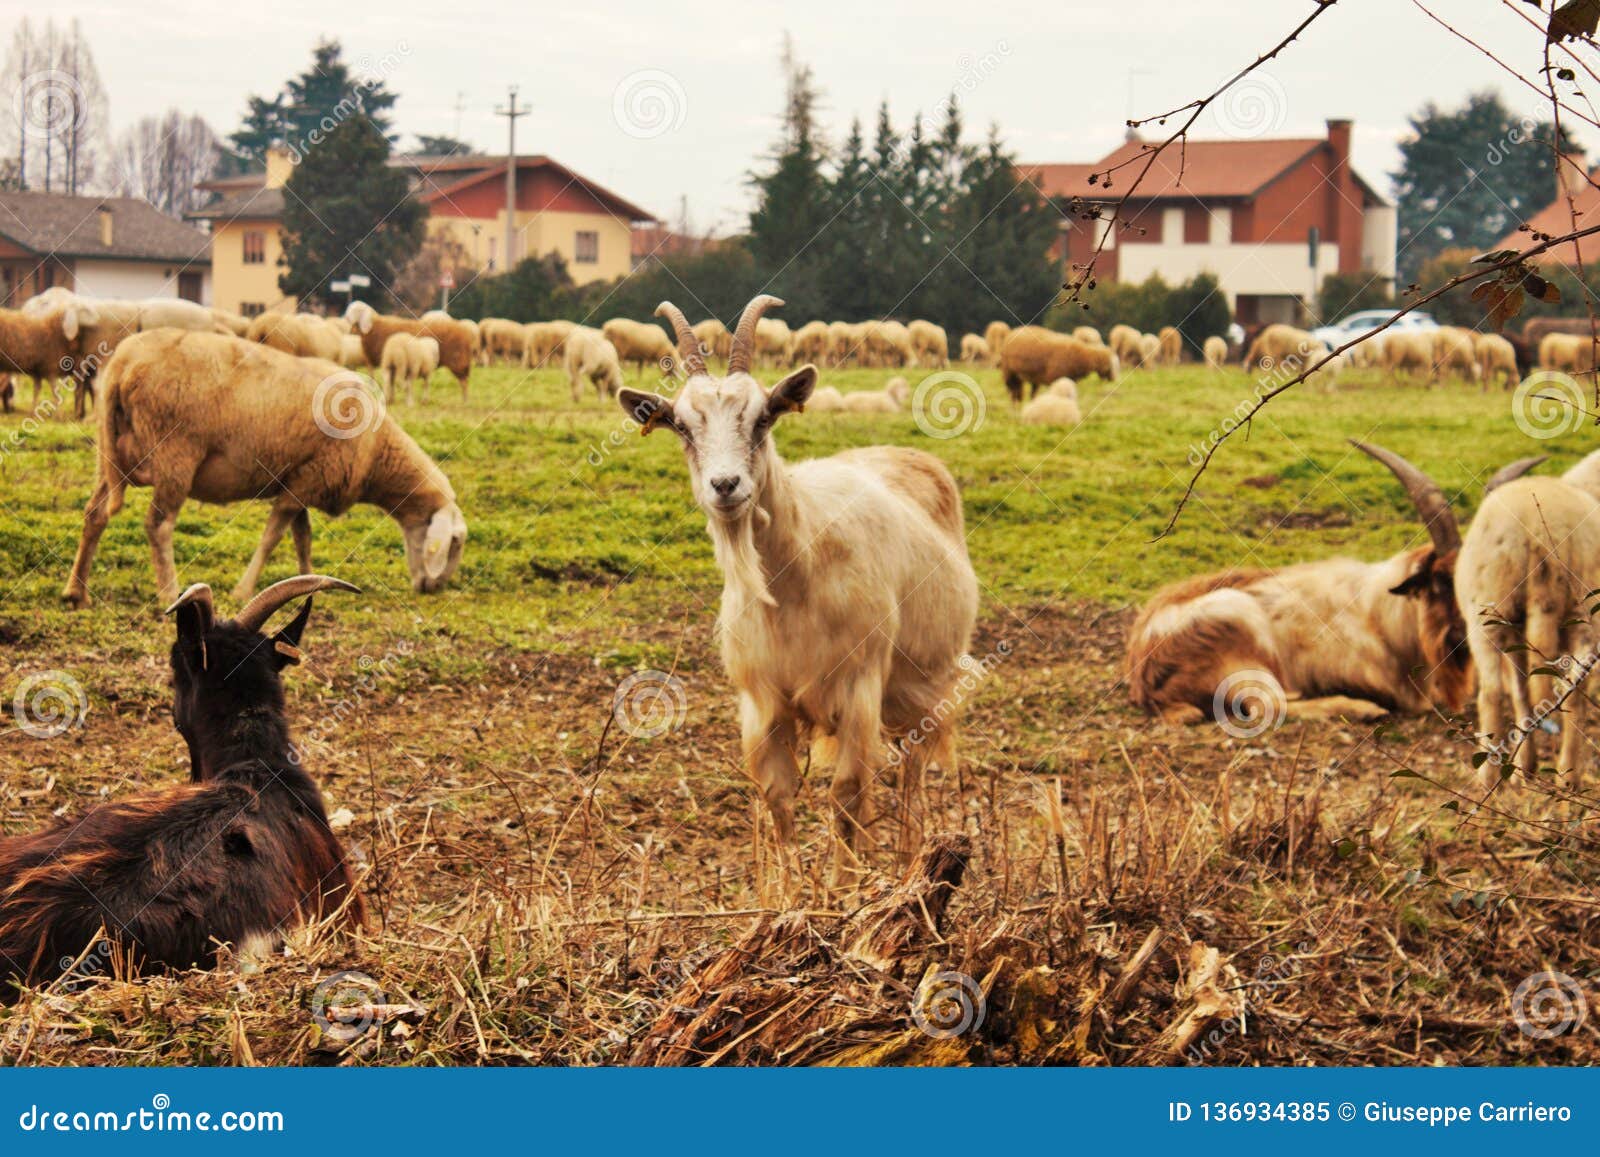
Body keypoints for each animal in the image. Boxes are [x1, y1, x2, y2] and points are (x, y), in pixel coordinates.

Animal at [618, 296, 978, 877]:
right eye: (683, 428)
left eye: (763, 417)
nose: (725, 485)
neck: (792, 586)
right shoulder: (761, 699)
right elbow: (778, 799)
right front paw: (787, 892)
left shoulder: (859, 685)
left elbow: (847, 795)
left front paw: (842, 888)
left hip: (927, 680)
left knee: (911, 769)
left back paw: (909, 861)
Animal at [1126, 443, 1545, 727]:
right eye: (1441, 579)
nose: (1464, 636)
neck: (1385, 614)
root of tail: (1144, 668)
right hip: (1242, 634)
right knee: (1265, 705)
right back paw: (1361, 709)